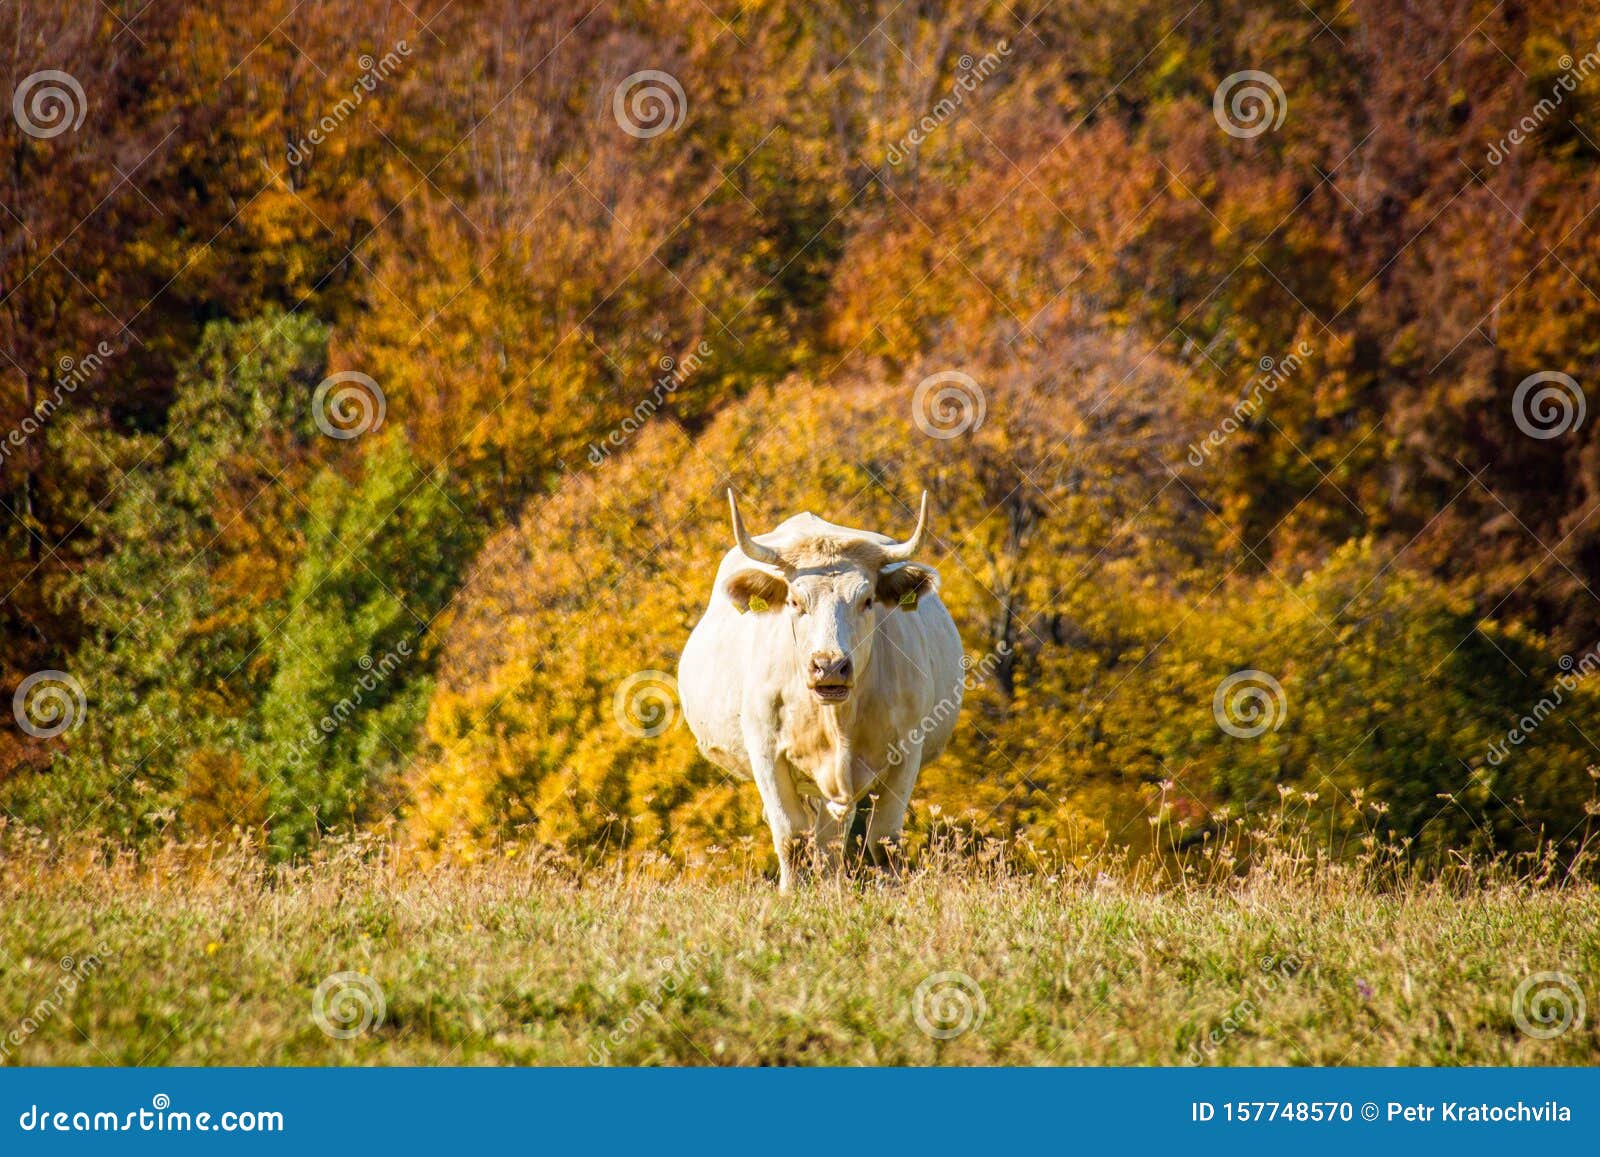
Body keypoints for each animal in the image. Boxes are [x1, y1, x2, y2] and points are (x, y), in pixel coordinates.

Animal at [678, 489, 965, 891]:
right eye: (795, 602)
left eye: (867, 600)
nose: (829, 666)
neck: (835, 719)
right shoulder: (766, 752)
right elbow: (791, 836)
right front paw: (791, 895)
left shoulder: (907, 752)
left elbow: (883, 839)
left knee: (831, 837)